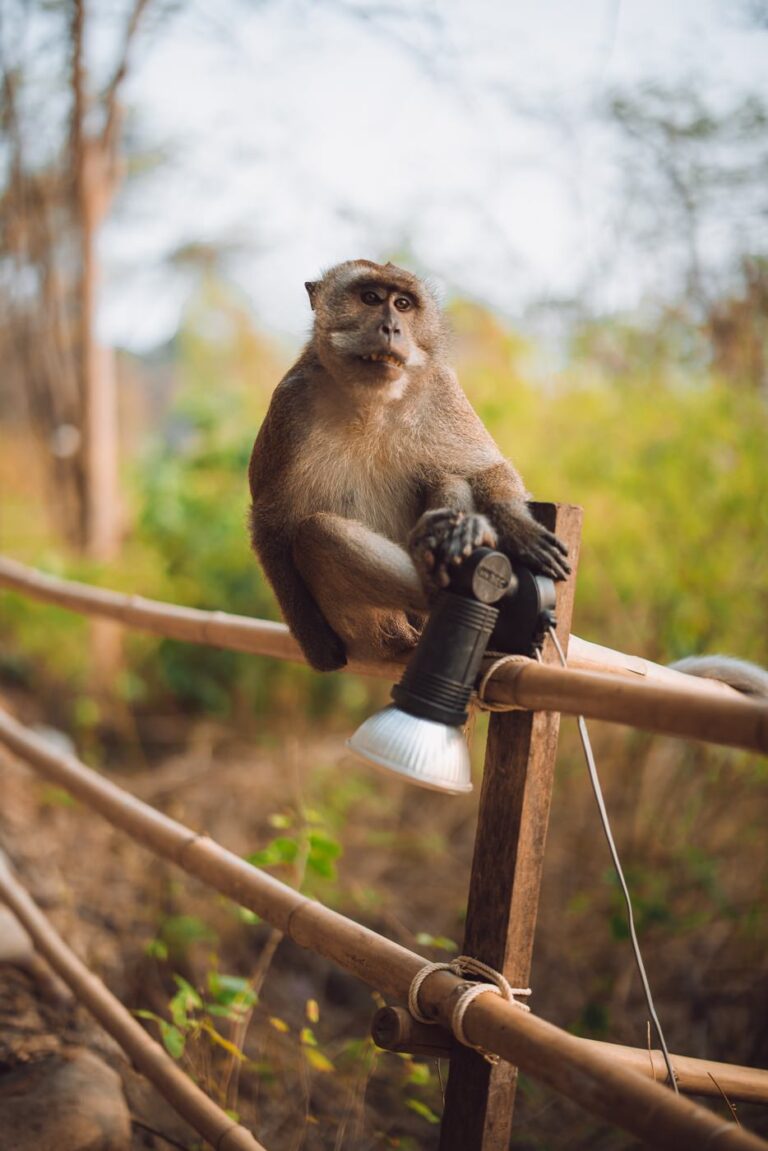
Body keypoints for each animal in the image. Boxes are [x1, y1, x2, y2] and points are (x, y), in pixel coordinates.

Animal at [248, 258, 569, 672]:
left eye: (402, 304)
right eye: (370, 298)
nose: (392, 328)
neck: (371, 402)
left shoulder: (442, 389)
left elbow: (484, 467)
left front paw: (516, 525)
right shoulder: (289, 407)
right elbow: (272, 523)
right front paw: (316, 644)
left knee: (448, 478)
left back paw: (457, 540)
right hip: (369, 635)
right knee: (318, 533)